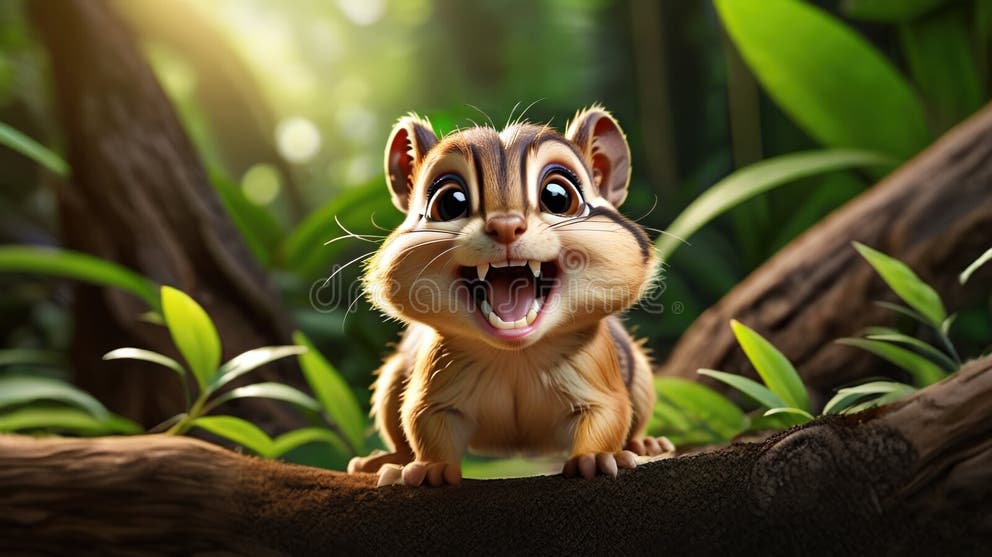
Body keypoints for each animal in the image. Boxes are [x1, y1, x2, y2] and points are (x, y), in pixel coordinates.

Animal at [348, 106, 673, 486]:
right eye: (449, 203)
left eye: (557, 197)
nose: (505, 225)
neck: (514, 355)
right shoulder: (435, 381)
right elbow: (424, 421)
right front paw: (431, 469)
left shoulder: (597, 373)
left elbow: (607, 415)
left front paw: (593, 458)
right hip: (392, 380)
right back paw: (386, 461)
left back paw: (646, 444)